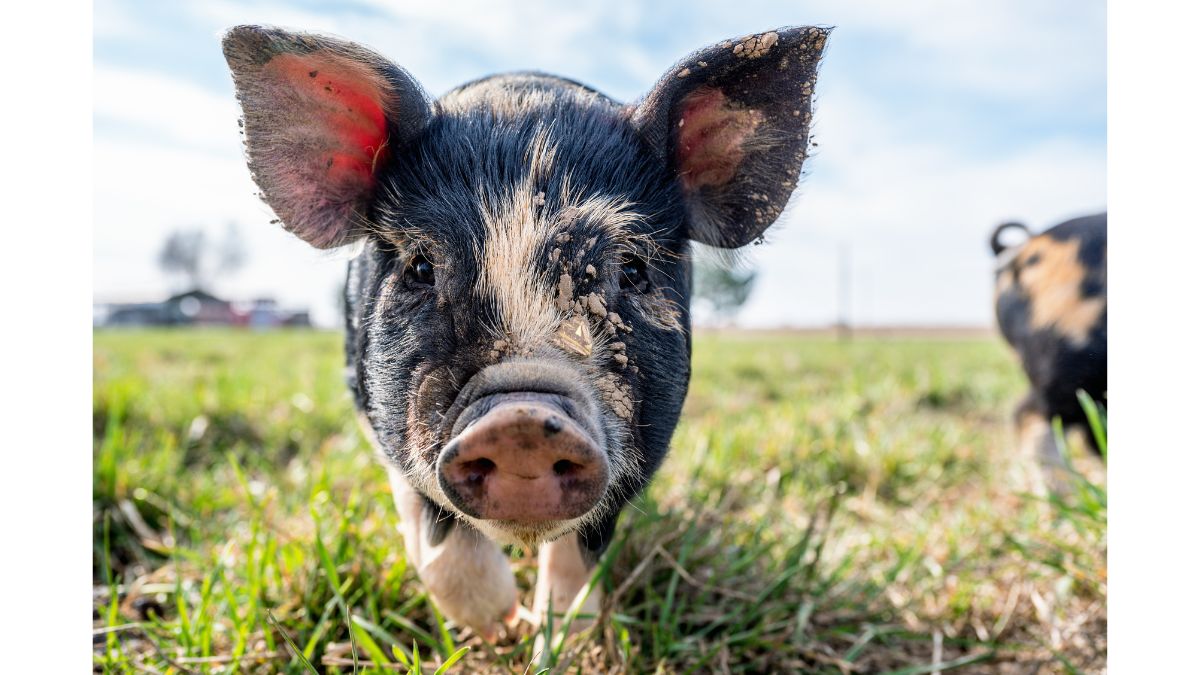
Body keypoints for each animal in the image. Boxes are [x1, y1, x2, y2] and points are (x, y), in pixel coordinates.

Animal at [222, 24, 828, 639]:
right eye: (420, 266)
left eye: (632, 269)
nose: (522, 422)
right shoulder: (379, 416)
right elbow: (435, 541)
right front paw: (502, 626)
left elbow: (578, 562)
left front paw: (553, 635)